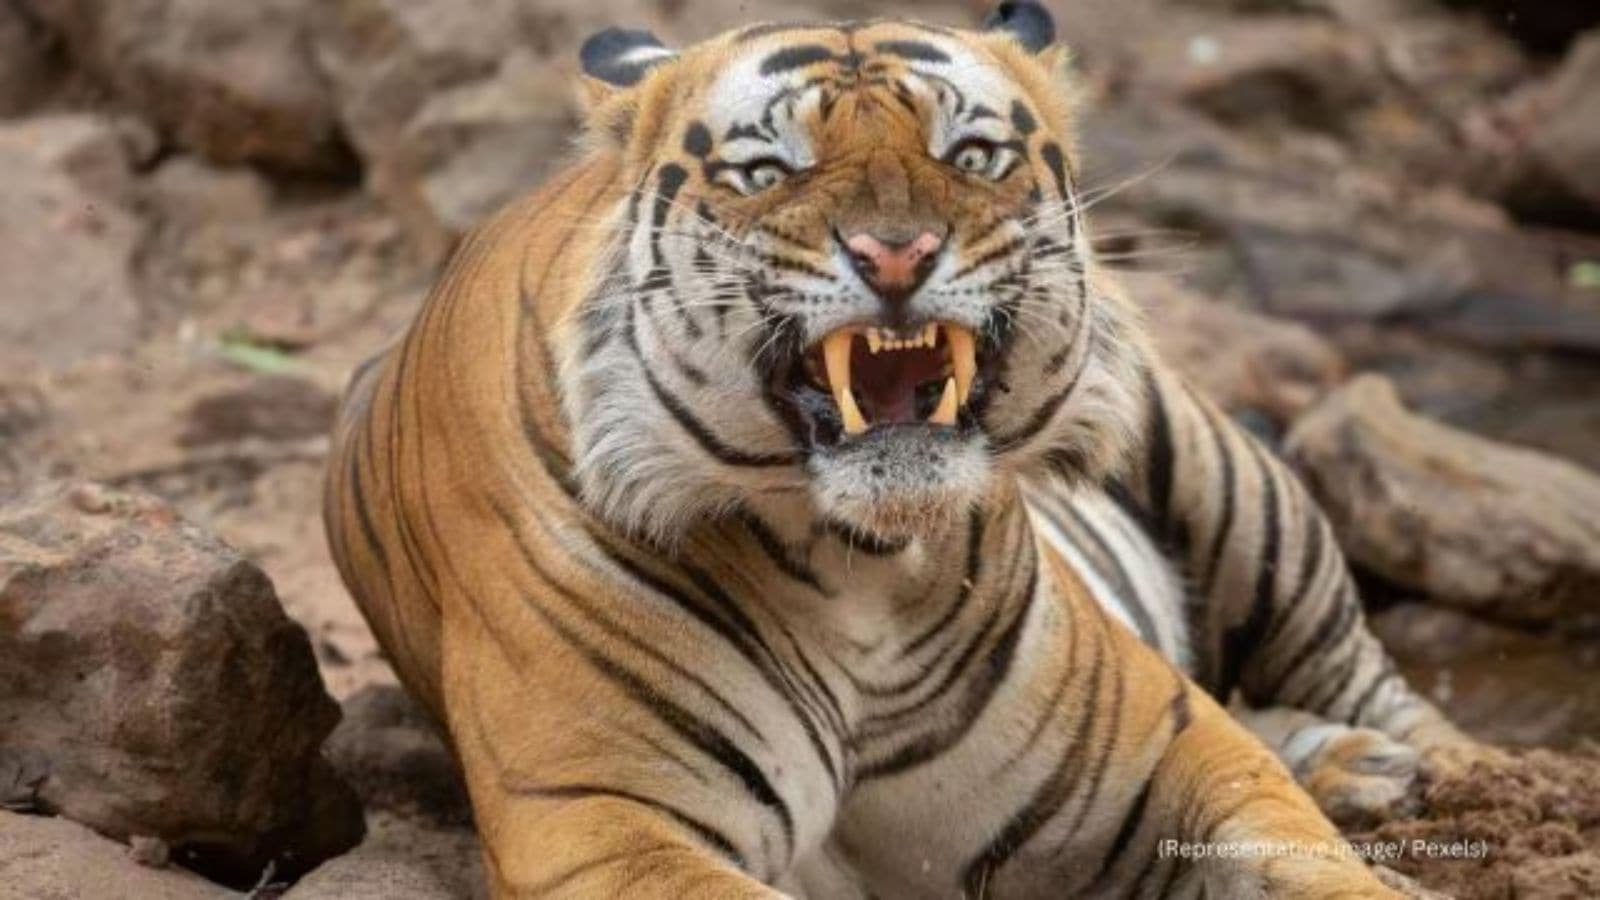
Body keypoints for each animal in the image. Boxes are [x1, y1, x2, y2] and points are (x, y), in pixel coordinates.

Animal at [323, 2, 1478, 897]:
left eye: (969, 156)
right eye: (766, 170)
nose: (896, 253)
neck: (858, 570)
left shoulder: (1175, 746)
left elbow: (1306, 860)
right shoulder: (601, 820)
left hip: (1229, 485)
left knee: (1376, 682)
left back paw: (1433, 773)